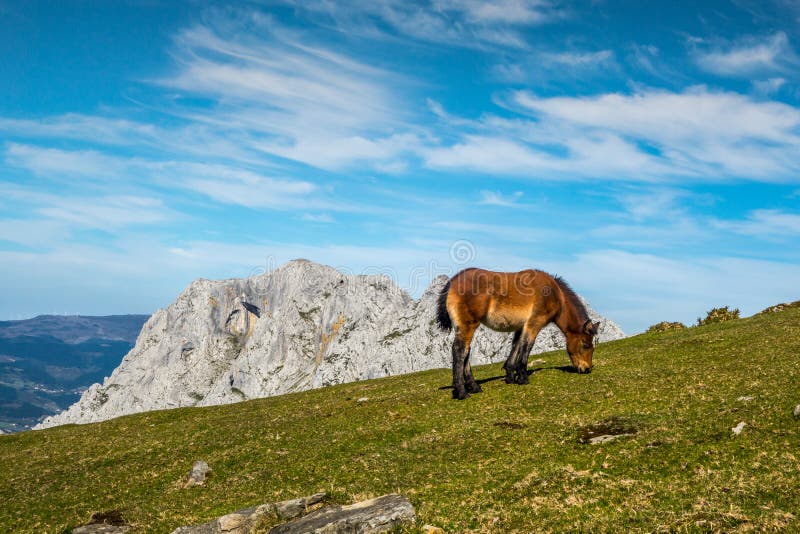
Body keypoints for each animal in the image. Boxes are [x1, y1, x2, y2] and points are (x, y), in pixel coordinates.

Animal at [436, 268, 599, 400]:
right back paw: (462, 392)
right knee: (460, 351)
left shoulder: (521, 326)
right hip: (468, 326)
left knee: (466, 352)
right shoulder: (534, 323)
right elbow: (527, 346)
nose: (587, 369)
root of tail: (453, 281)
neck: (554, 293)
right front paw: (523, 377)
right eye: (586, 345)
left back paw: (474, 387)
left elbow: (516, 346)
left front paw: (510, 375)